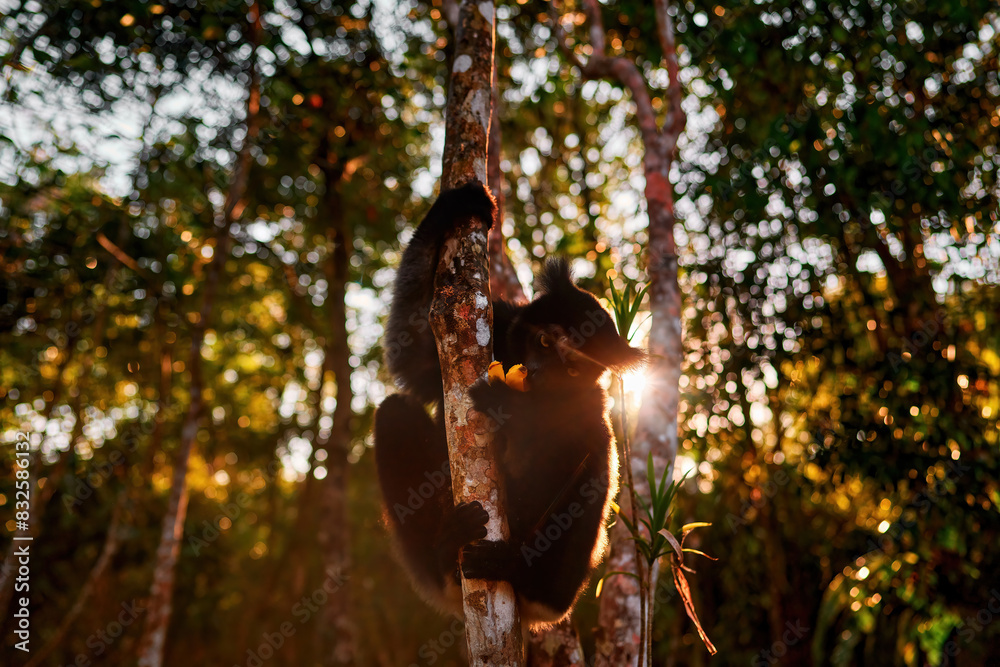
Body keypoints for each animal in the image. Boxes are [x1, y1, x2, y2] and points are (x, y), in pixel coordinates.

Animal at [374, 180, 643, 627]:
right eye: (546, 340)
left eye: (572, 369)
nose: (535, 374)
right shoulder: (498, 320)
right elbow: (414, 353)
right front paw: (457, 205)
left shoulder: (586, 405)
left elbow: (559, 455)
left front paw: (510, 408)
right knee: (395, 413)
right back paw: (446, 549)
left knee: (597, 458)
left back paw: (520, 573)